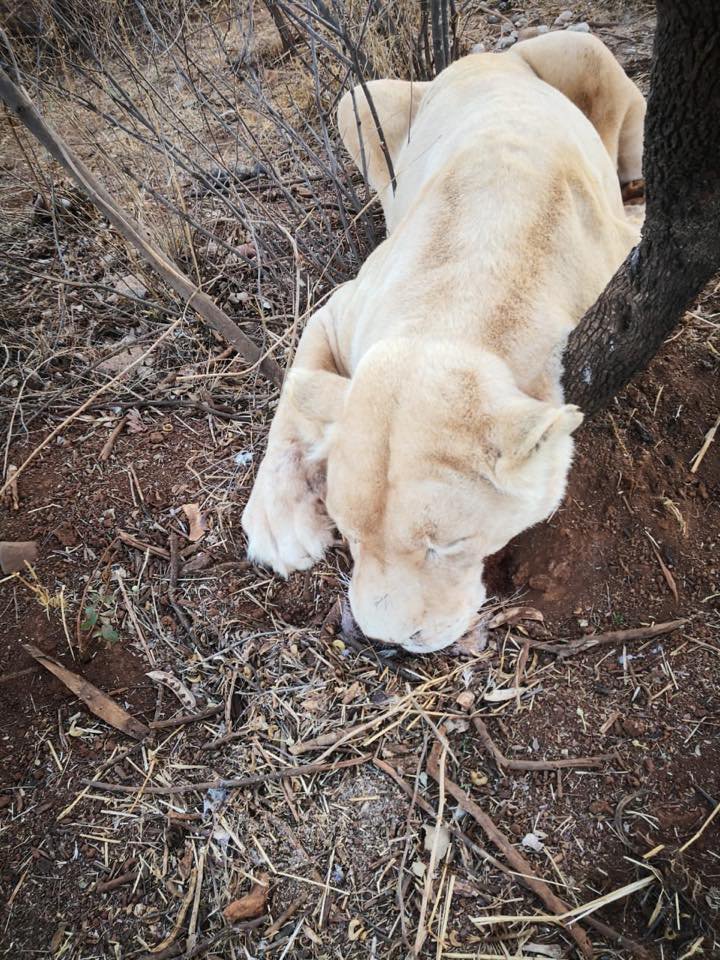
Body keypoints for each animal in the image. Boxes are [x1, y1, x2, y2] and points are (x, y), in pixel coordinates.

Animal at [242, 31, 646, 653]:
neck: (458, 305)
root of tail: (489, 56)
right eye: (349, 534)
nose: (387, 639)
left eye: (448, 545)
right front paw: (278, 521)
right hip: (356, 99)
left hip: (584, 48)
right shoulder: (341, 307)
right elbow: (295, 387)